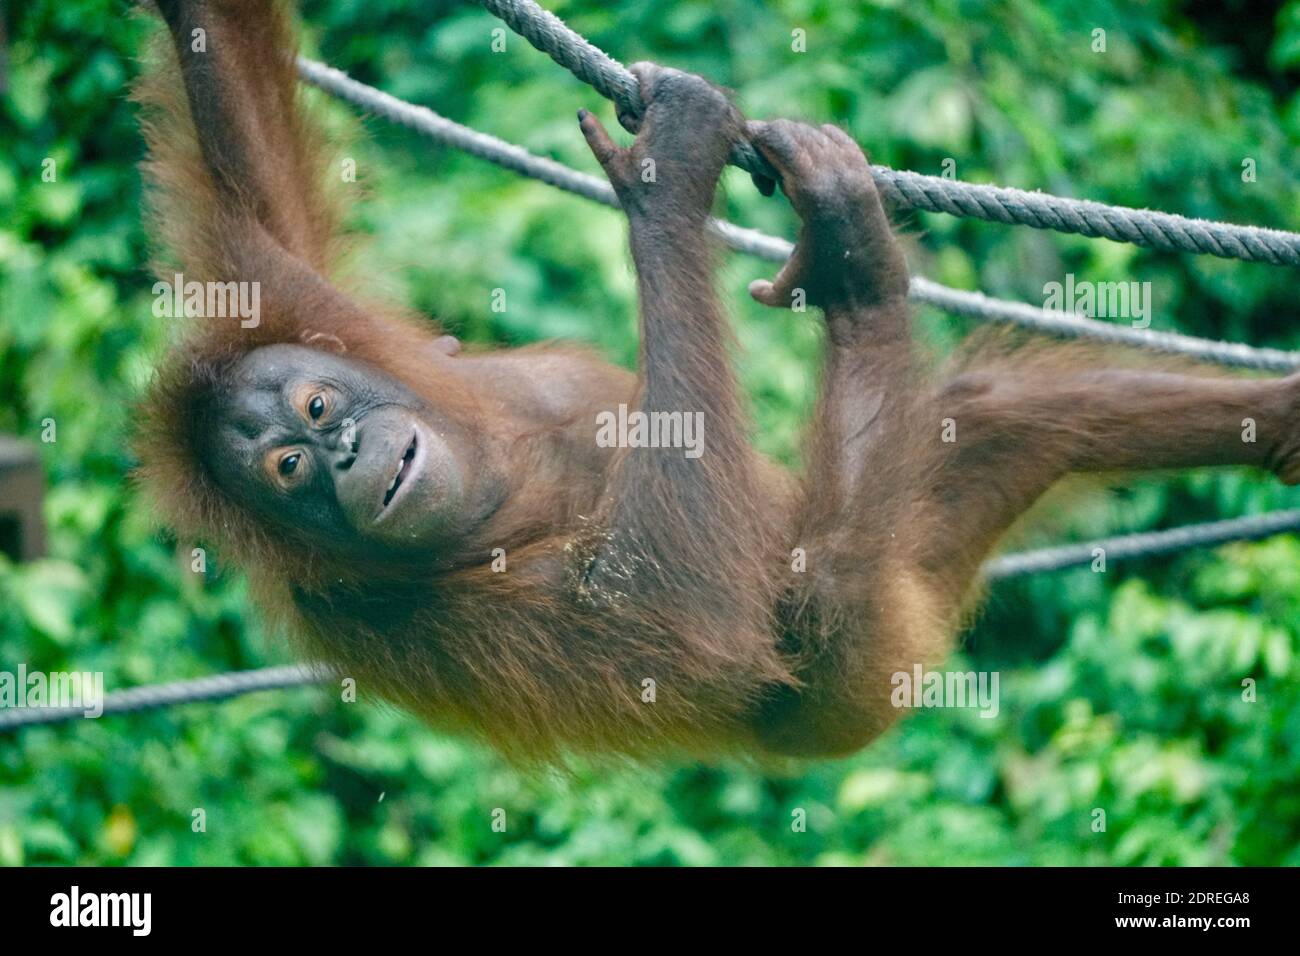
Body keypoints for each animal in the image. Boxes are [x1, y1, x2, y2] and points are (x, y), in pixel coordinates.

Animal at [133, 0, 1300, 762]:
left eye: (318, 407)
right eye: (287, 470)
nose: (339, 455)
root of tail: (925, 612)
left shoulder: (302, 302)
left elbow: (234, 118)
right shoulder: (395, 626)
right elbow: (673, 616)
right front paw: (663, 187)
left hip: (930, 534)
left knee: (997, 418)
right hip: (861, 670)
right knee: (827, 583)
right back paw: (856, 275)